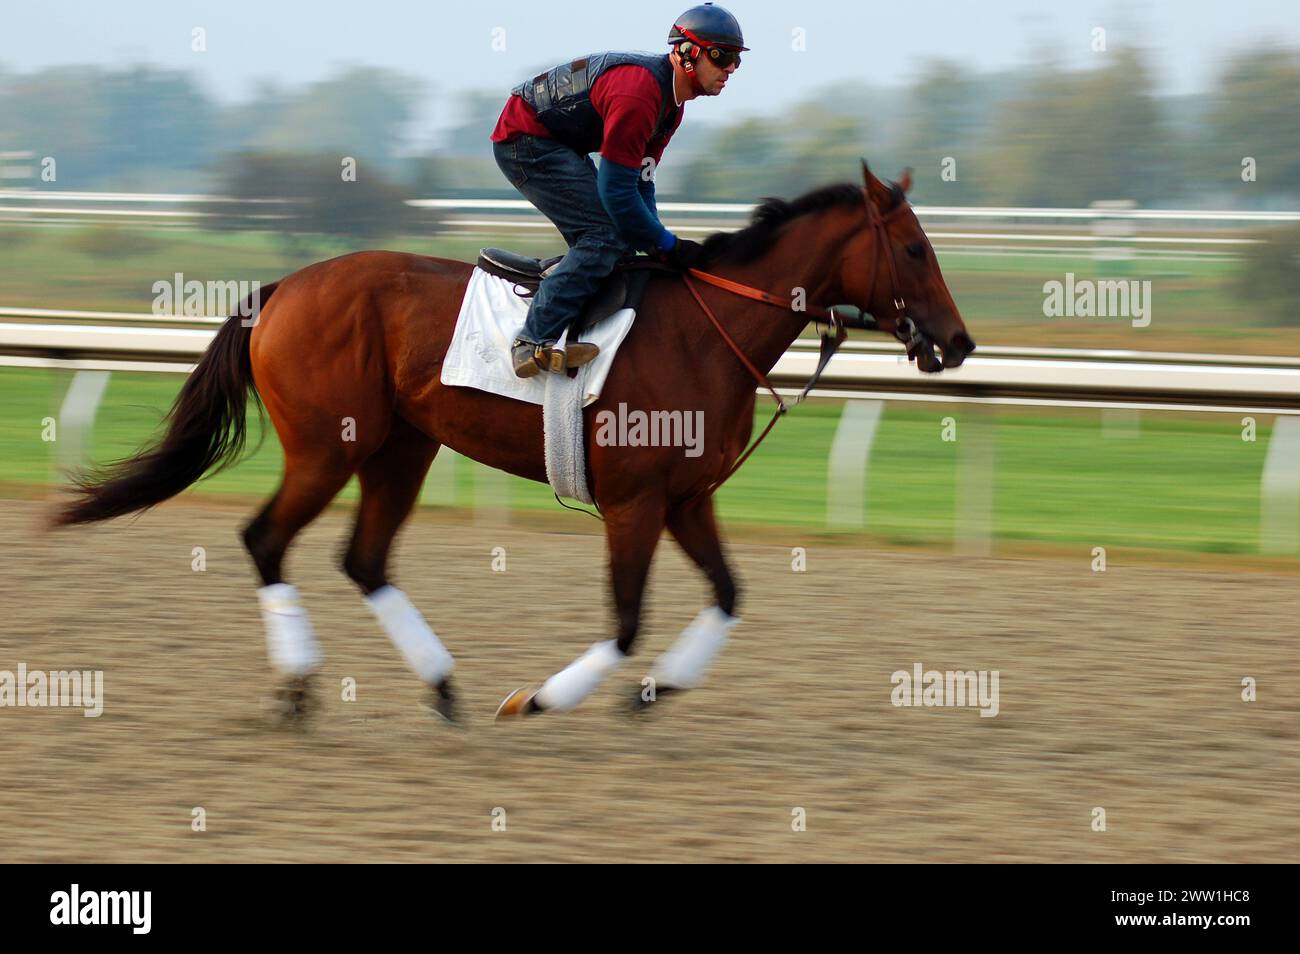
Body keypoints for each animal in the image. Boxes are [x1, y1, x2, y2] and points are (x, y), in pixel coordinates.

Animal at [52, 161, 975, 723]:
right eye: (914, 247)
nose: (959, 343)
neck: (707, 332)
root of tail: (282, 288)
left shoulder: (686, 498)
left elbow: (727, 593)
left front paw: (659, 686)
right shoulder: (635, 501)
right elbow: (626, 620)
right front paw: (537, 699)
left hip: (400, 448)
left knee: (364, 558)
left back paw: (440, 684)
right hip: (328, 447)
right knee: (266, 539)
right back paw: (302, 683)